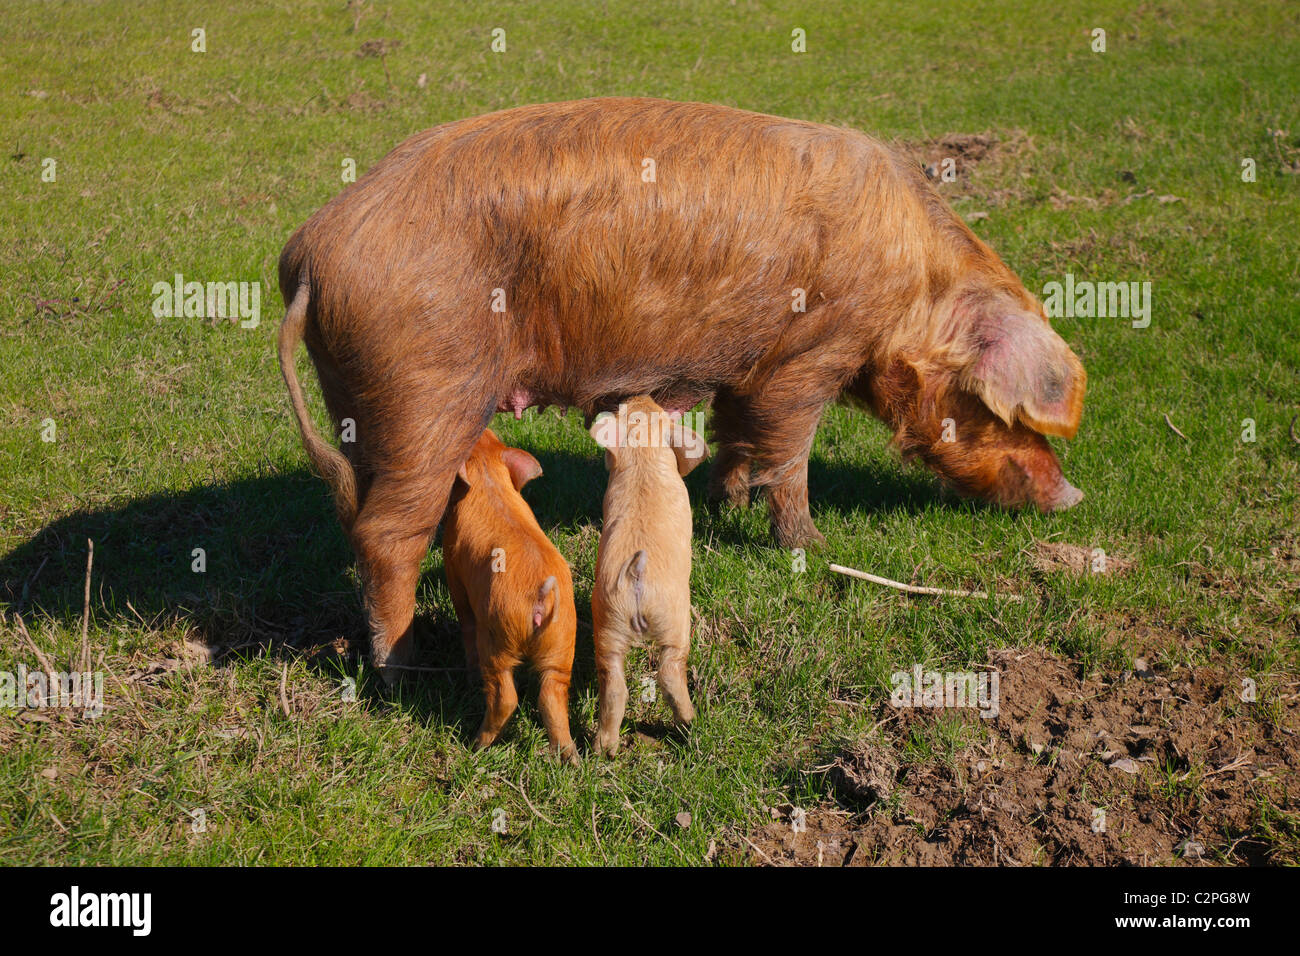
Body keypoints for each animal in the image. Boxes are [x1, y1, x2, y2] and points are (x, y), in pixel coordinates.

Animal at [277, 97, 1086, 680]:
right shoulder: (809, 356)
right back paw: (403, 669)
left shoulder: (744, 373)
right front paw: (811, 544)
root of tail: (310, 256)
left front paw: (727, 503)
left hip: (363, 404)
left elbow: (737, 436)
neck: (912, 292)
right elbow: (789, 451)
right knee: (386, 535)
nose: (1071, 497)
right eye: (999, 410)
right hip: (427, 393)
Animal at [440, 429, 577, 762]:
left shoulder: (452, 565)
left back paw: (475, 744)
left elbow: (463, 616)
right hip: (563, 641)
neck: (489, 478)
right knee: (553, 695)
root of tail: (542, 598)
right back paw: (571, 758)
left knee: (505, 696)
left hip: (497, 636)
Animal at [588, 396, 708, 757]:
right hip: (674, 621)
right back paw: (690, 724)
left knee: (613, 684)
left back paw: (604, 750)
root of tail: (636, 573)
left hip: (608, 621)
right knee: (670, 671)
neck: (643, 455)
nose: (641, 396)